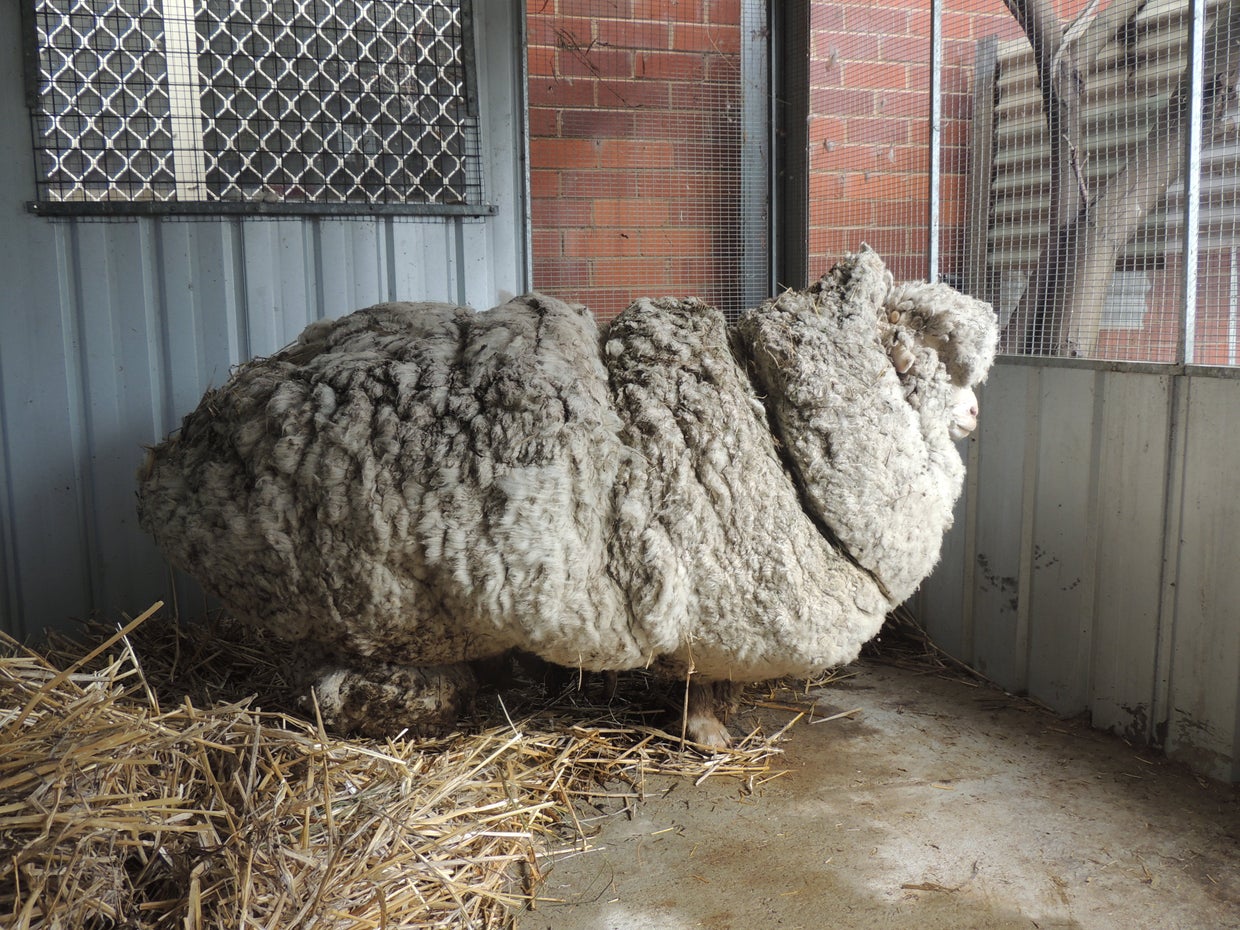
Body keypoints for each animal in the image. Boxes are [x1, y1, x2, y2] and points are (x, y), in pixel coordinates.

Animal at [137, 246, 997, 748]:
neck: (766, 416)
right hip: (360, 602)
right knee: (332, 690)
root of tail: (174, 461)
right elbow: (703, 689)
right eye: (925, 352)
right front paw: (711, 737)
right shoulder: (718, 620)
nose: (977, 416)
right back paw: (421, 703)